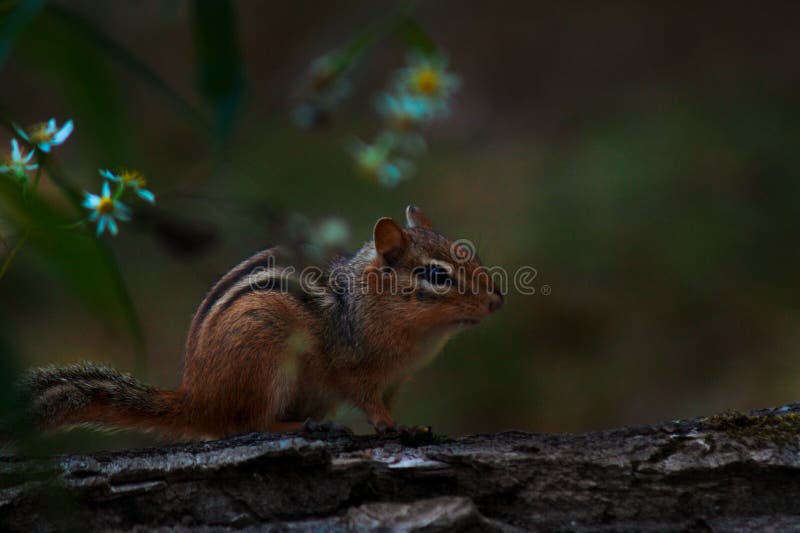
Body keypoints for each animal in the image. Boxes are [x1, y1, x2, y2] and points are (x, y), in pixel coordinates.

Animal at [21, 205, 503, 439]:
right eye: (437, 276)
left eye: (472, 255)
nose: (497, 301)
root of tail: (197, 397)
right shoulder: (357, 370)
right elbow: (370, 405)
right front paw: (392, 427)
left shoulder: (395, 380)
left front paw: (412, 425)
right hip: (265, 353)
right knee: (244, 424)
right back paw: (303, 426)